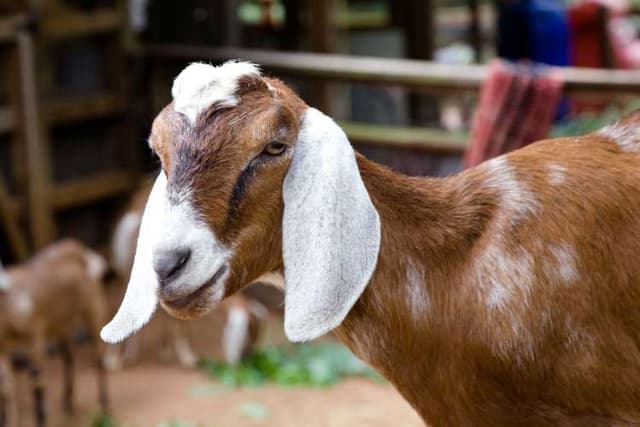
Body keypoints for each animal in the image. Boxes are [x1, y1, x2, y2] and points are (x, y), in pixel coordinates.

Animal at [0, 239, 109, 427]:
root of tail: (80, 250)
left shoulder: (36, 335)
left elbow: (36, 380)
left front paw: (41, 420)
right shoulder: (3, 347)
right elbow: (7, 387)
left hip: (93, 310)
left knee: (97, 357)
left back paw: (102, 405)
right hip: (62, 325)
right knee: (69, 359)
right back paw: (68, 402)